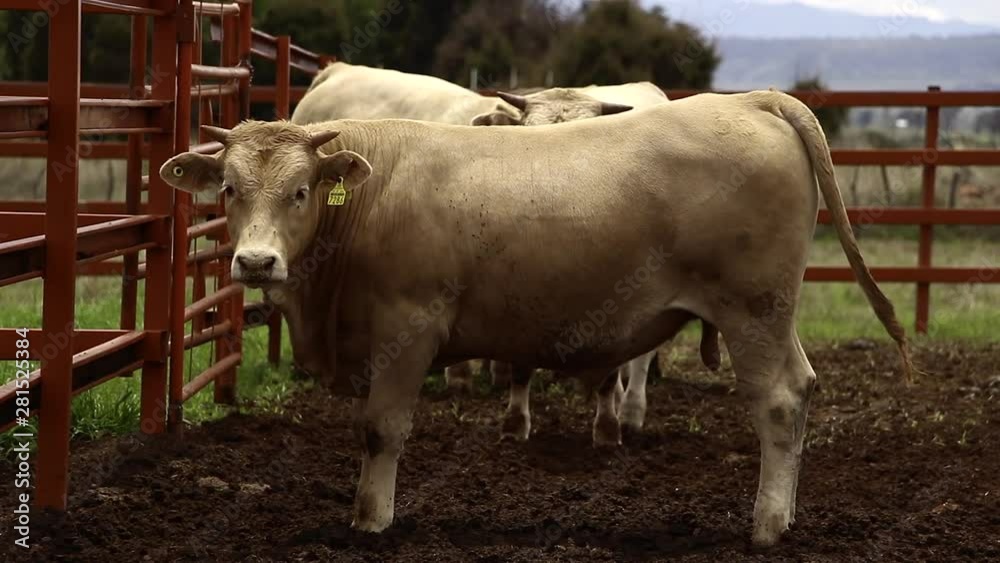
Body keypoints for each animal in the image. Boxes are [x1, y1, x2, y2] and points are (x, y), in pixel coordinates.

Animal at [161, 90, 912, 546]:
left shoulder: (409, 330)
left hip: (752, 310)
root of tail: (752, 100)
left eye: (300, 189)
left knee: (778, 403)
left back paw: (766, 523)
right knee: (802, 387)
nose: (257, 262)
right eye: (228, 188)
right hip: (773, 315)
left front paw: (371, 521)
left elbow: (381, 430)